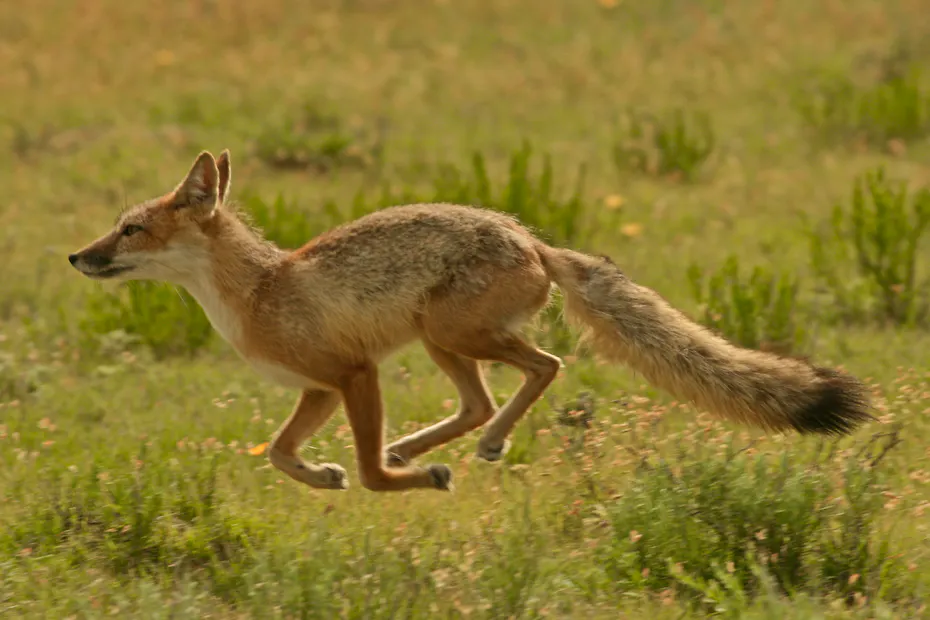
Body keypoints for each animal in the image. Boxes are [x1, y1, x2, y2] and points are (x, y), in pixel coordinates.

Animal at [68, 149, 874, 493]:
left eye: (131, 230)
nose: (77, 255)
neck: (260, 290)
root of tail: (531, 238)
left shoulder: (352, 374)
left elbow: (367, 473)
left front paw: (404, 480)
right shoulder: (320, 388)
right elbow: (279, 454)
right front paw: (324, 475)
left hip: (448, 335)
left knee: (544, 368)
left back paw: (466, 450)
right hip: (441, 344)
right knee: (483, 399)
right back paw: (427, 445)